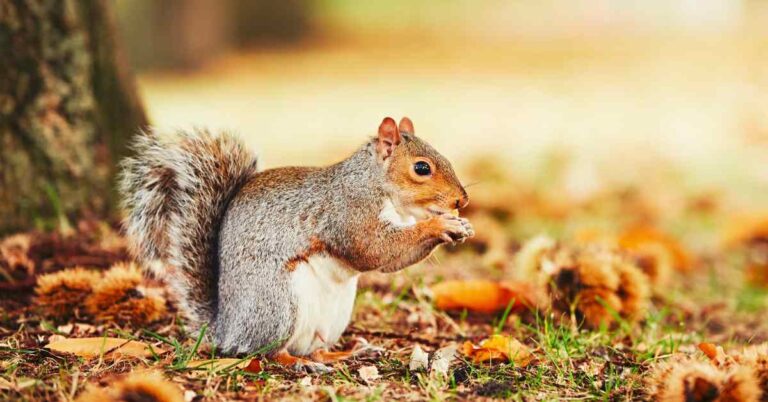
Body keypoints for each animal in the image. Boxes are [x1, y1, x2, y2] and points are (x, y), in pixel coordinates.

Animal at [119, 117, 473, 371]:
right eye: (421, 168)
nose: (462, 200)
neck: (374, 182)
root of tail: (227, 326)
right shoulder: (349, 213)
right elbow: (373, 250)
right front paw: (440, 224)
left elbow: (391, 260)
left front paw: (458, 225)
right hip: (278, 306)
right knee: (267, 351)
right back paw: (298, 364)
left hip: (332, 317)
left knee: (313, 348)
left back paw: (342, 355)